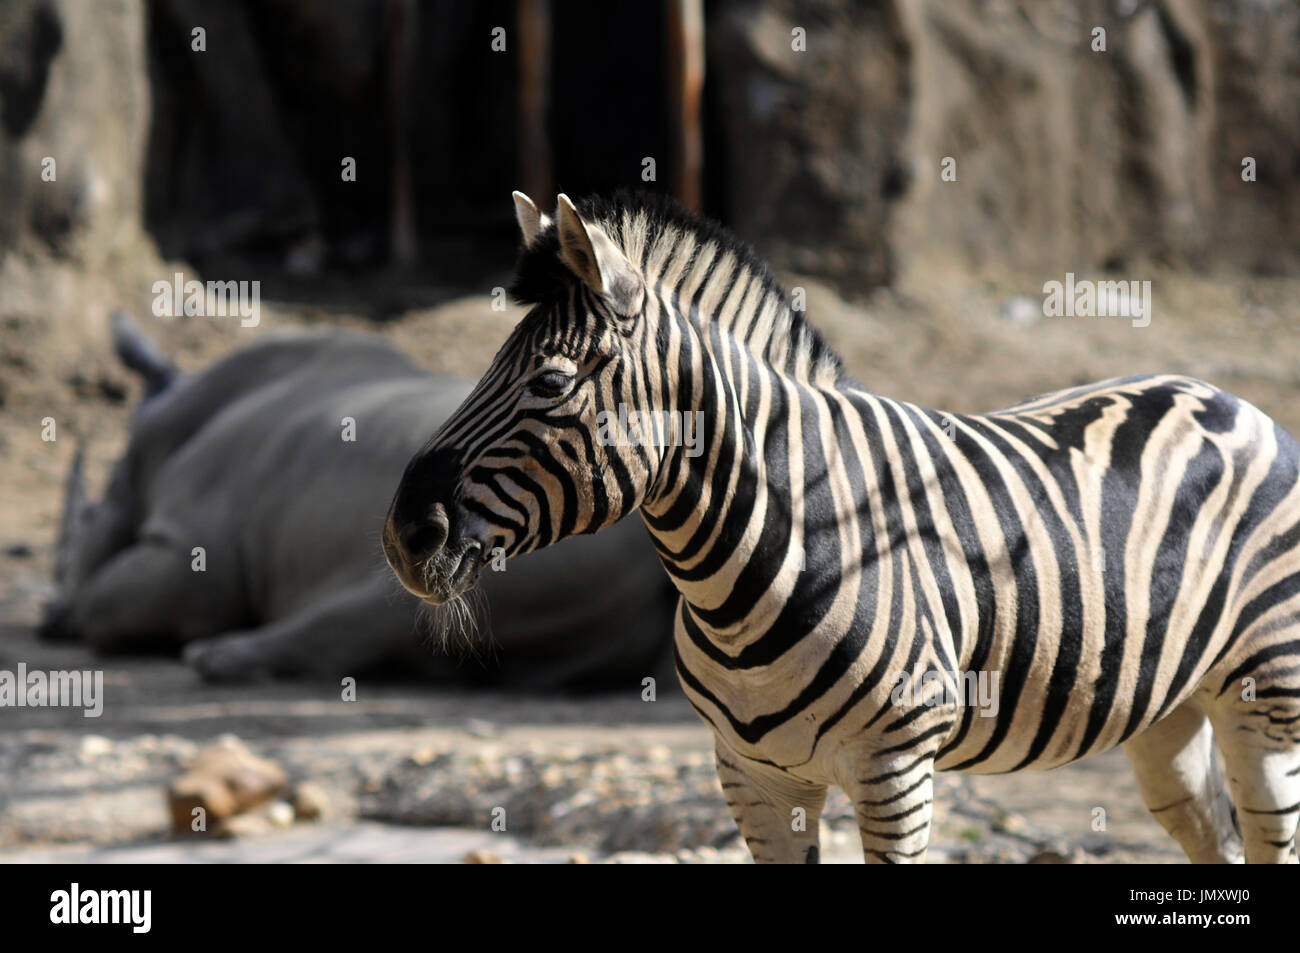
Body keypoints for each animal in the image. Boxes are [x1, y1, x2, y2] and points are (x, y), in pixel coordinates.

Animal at [40, 312, 676, 688]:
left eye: (86, 520)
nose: (49, 621)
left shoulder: (193, 553)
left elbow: (108, 604)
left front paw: (83, 615)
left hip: (518, 516)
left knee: (386, 600)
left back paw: (212, 658)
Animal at [382, 189, 1300, 864]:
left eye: (548, 381)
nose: (402, 536)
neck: (742, 573)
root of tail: (1224, 396)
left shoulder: (895, 773)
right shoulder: (754, 779)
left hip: (1264, 698)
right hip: (1167, 709)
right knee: (1208, 836)